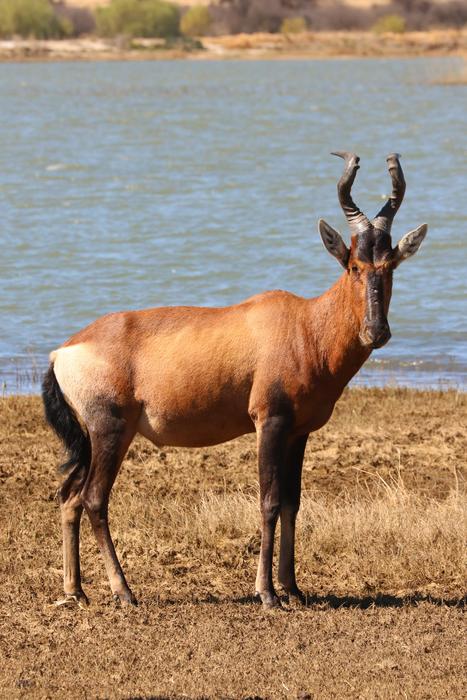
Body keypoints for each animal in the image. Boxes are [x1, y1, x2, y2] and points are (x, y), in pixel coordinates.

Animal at [42, 152, 427, 609]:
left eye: (390, 265)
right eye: (353, 265)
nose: (376, 332)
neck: (304, 324)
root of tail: (64, 351)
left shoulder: (298, 432)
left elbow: (293, 502)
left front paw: (293, 588)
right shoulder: (269, 423)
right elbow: (269, 501)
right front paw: (267, 594)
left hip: (90, 437)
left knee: (69, 495)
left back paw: (75, 590)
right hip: (110, 431)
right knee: (94, 499)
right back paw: (124, 592)